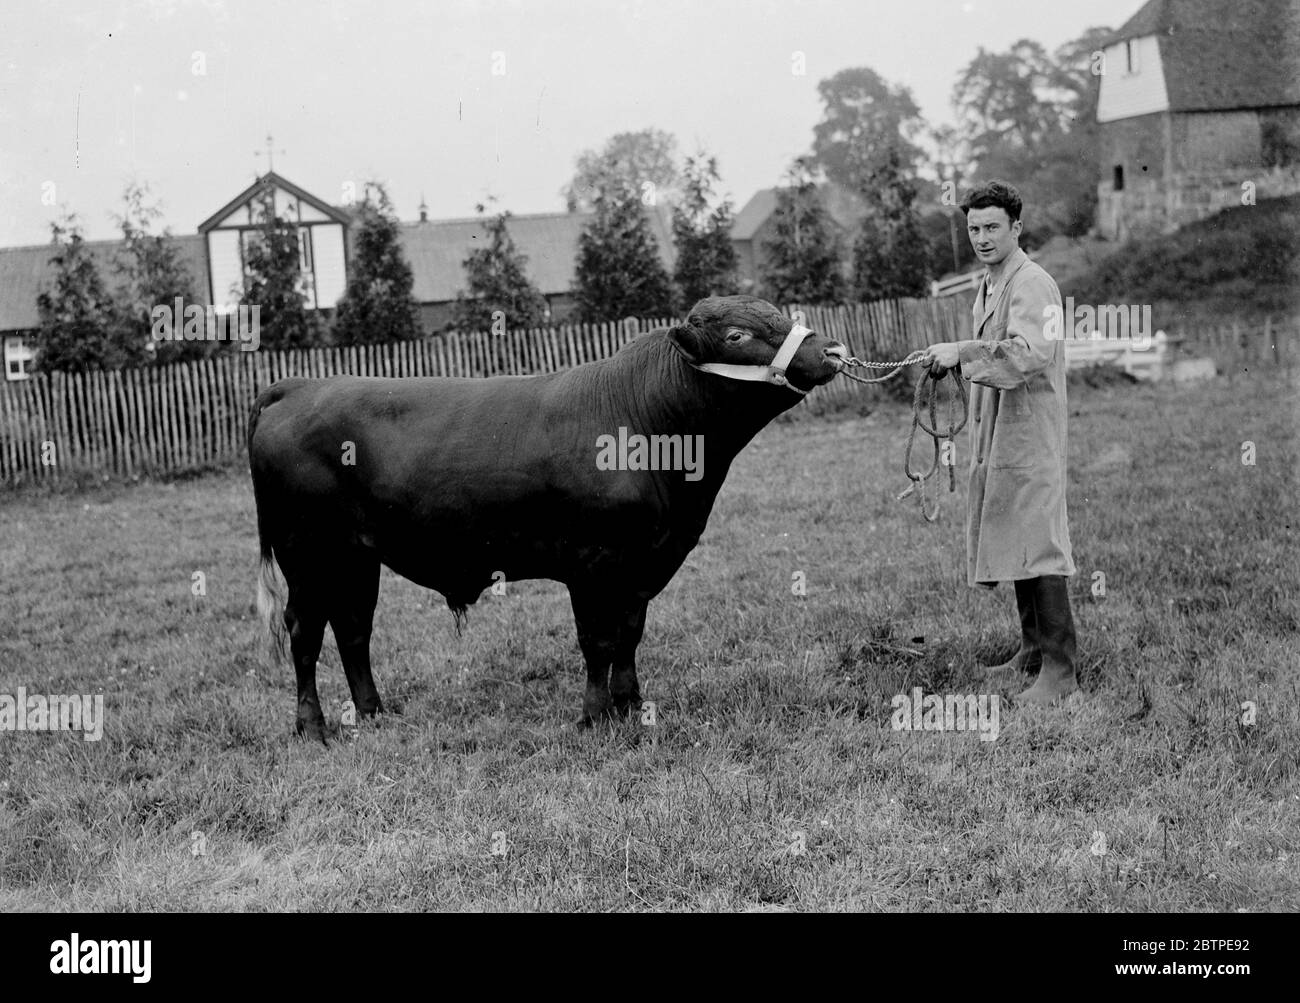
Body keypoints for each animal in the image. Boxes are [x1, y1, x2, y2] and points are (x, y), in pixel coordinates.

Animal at [248, 295, 846, 742]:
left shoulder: (643, 563)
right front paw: (594, 715)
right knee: (304, 633)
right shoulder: (591, 562)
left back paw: (373, 712)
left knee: (353, 629)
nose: (832, 349)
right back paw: (313, 726)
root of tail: (299, 386)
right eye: (738, 336)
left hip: (356, 557)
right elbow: (597, 640)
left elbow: (629, 634)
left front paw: (631, 703)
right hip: (305, 554)